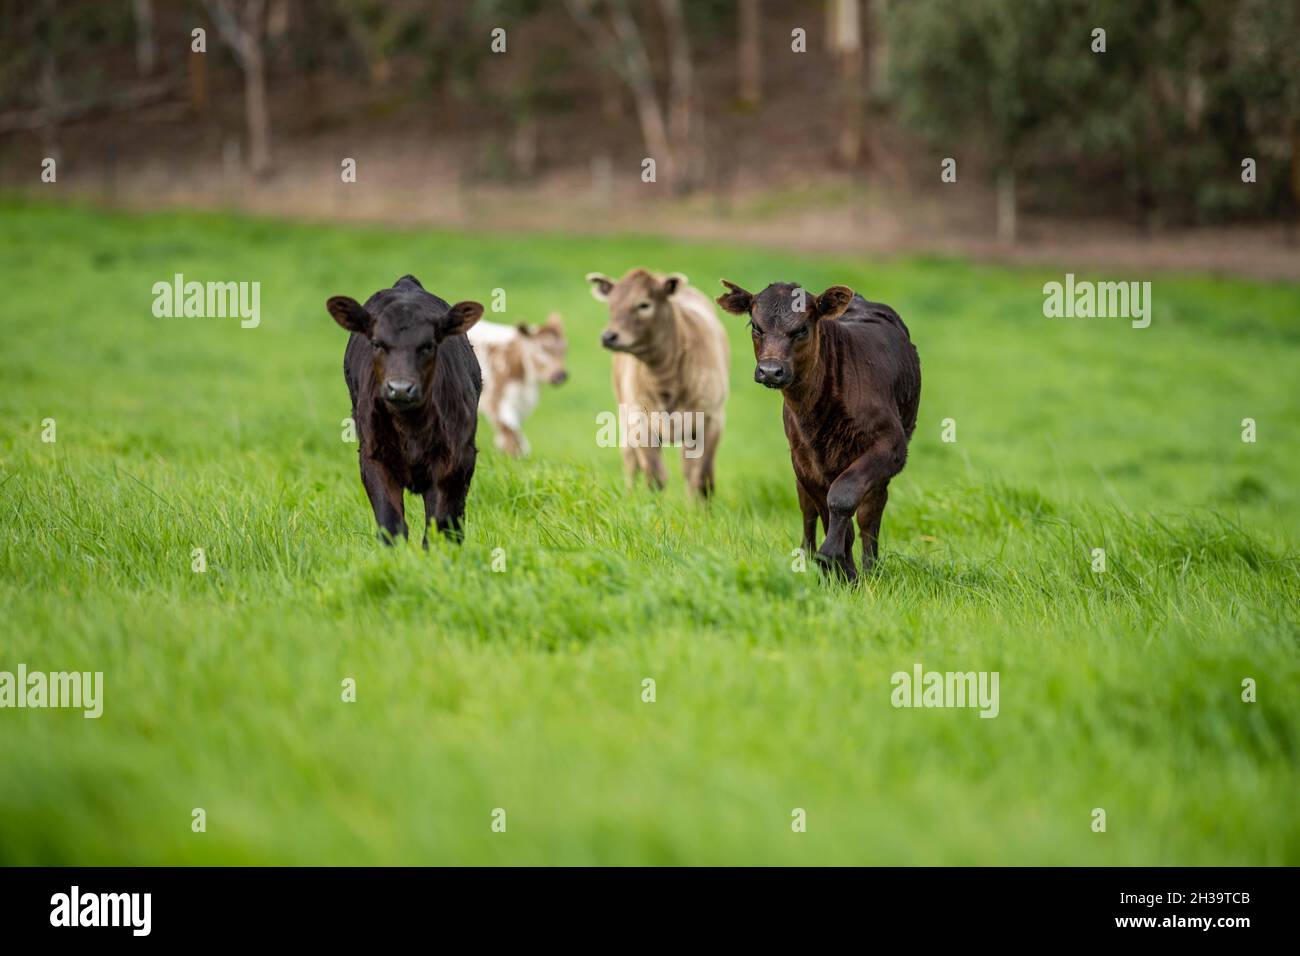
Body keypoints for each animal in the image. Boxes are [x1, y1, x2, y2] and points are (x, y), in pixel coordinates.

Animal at [327, 275, 484, 546]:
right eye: (377, 343)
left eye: (428, 345)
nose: (400, 389)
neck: (411, 427)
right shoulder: (372, 455)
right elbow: (391, 523)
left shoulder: (458, 459)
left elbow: (441, 523)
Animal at [586, 269, 729, 499]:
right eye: (611, 305)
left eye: (644, 304)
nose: (608, 336)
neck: (665, 377)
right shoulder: (640, 421)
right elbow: (654, 476)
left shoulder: (711, 419)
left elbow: (700, 477)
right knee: (630, 461)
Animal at [716, 280, 921, 581]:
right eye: (755, 326)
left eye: (802, 329)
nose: (770, 370)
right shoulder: (804, 458)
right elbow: (825, 509)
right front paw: (841, 571)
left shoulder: (891, 446)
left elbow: (844, 496)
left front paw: (835, 560)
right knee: (809, 511)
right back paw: (808, 556)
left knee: (870, 513)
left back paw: (871, 567)